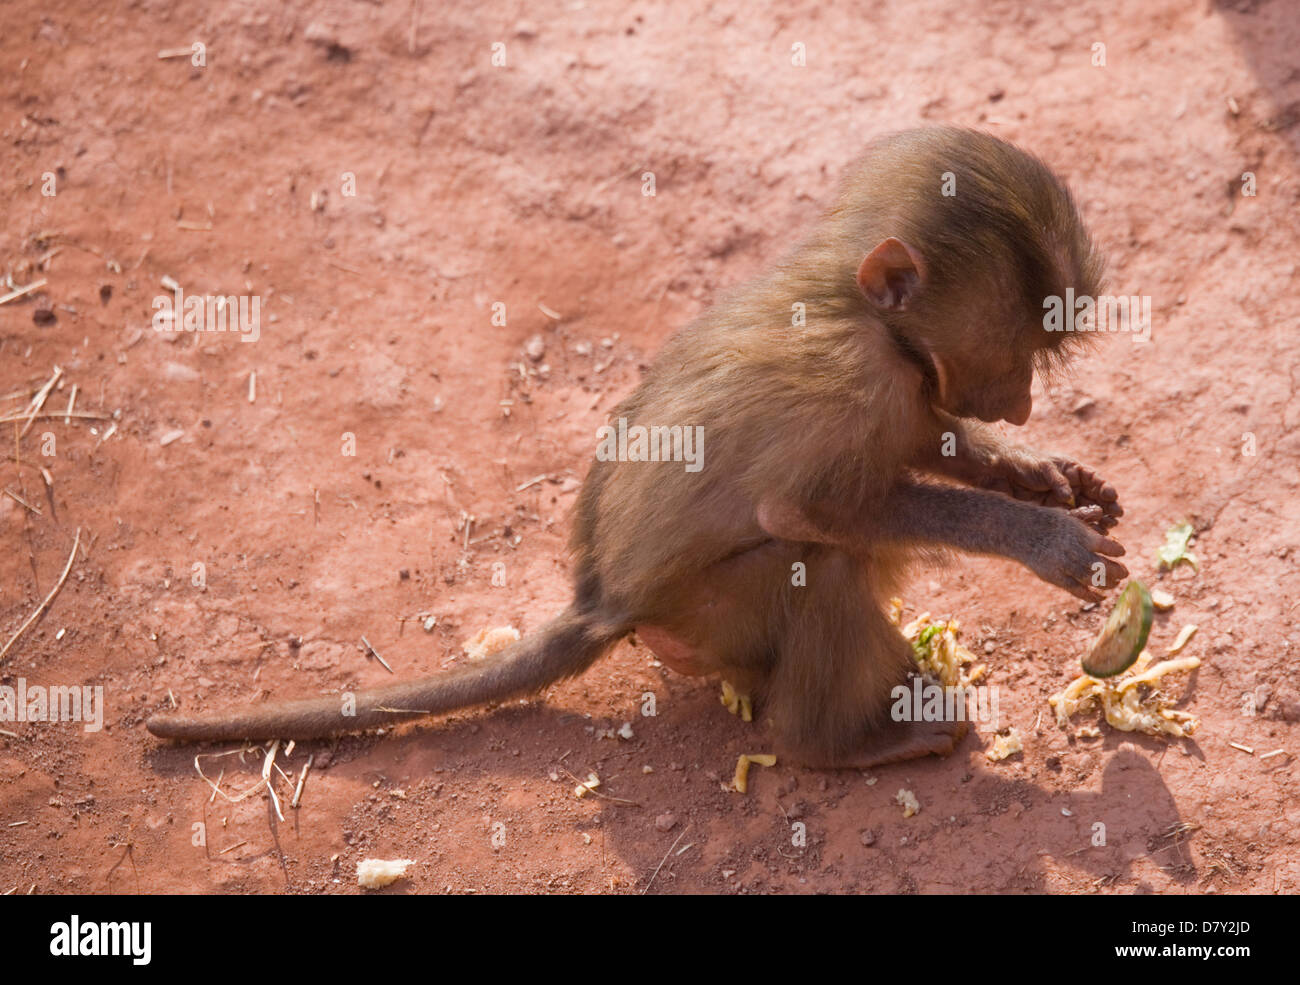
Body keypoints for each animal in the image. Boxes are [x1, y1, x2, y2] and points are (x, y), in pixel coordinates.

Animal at [148, 126, 1126, 768]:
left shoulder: (910, 384)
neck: (866, 315)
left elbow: (924, 438)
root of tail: (600, 600)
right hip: (708, 613)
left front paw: (1042, 477)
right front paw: (1043, 537)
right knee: (821, 560)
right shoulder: (856, 375)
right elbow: (805, 507)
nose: (1025, 404)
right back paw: (837, 745)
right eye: (1016, 355)